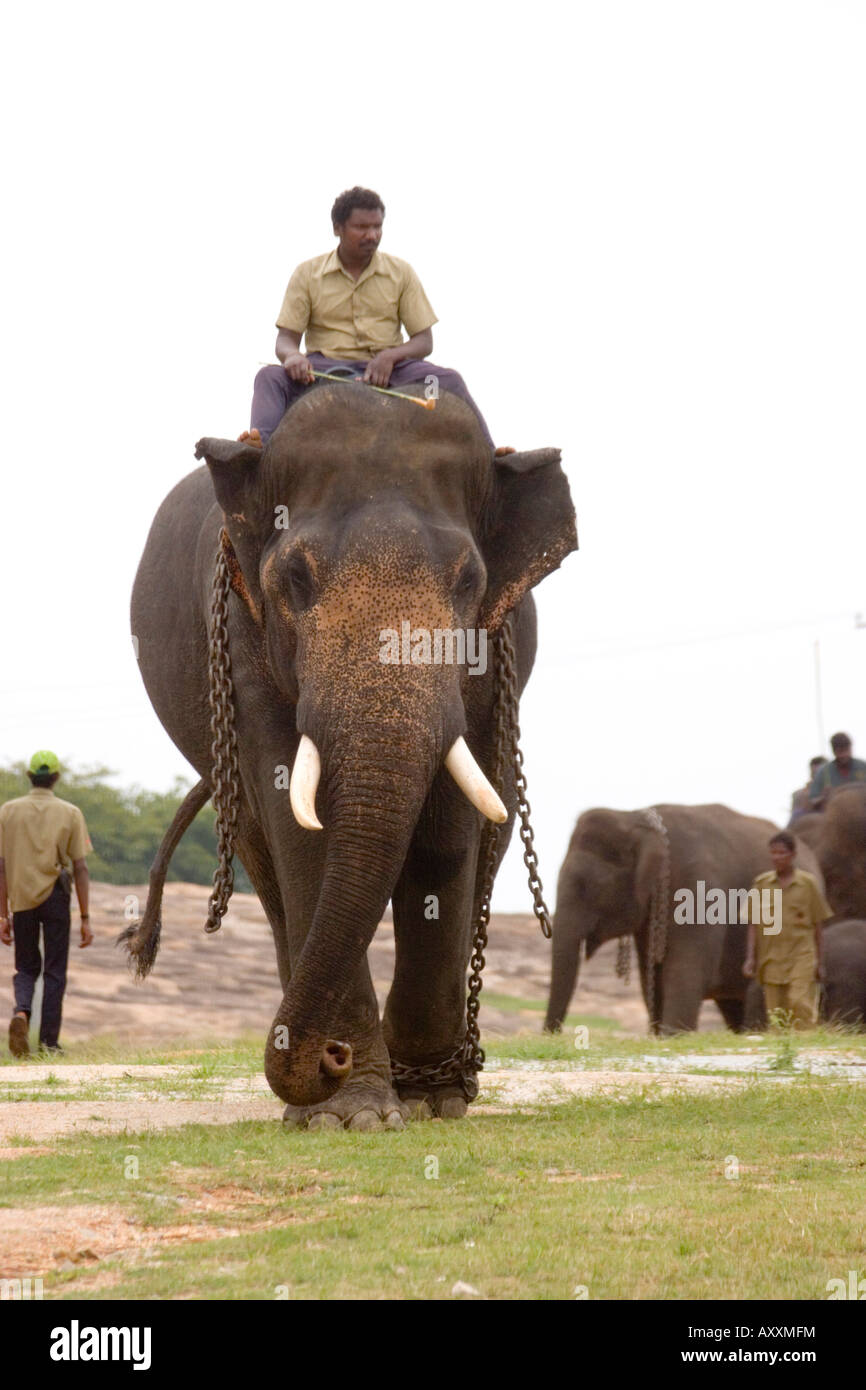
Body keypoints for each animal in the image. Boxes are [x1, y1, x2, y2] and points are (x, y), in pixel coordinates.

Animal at [128, 381, 577, 1129]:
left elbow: (448, 829)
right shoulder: (245, 639)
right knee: (269, 868)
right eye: (295, 578)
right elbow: (297, 823)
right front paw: (349, 1112)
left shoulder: (491, 654)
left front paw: (427, 1100)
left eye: (469, 581)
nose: (329, 1059)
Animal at [544, 803, 822, 1036]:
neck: (633, 817)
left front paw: (672, 1035)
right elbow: (652, 975)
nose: (551, 1035)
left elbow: (685, 971)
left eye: (586, 886)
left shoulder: (699, 887)